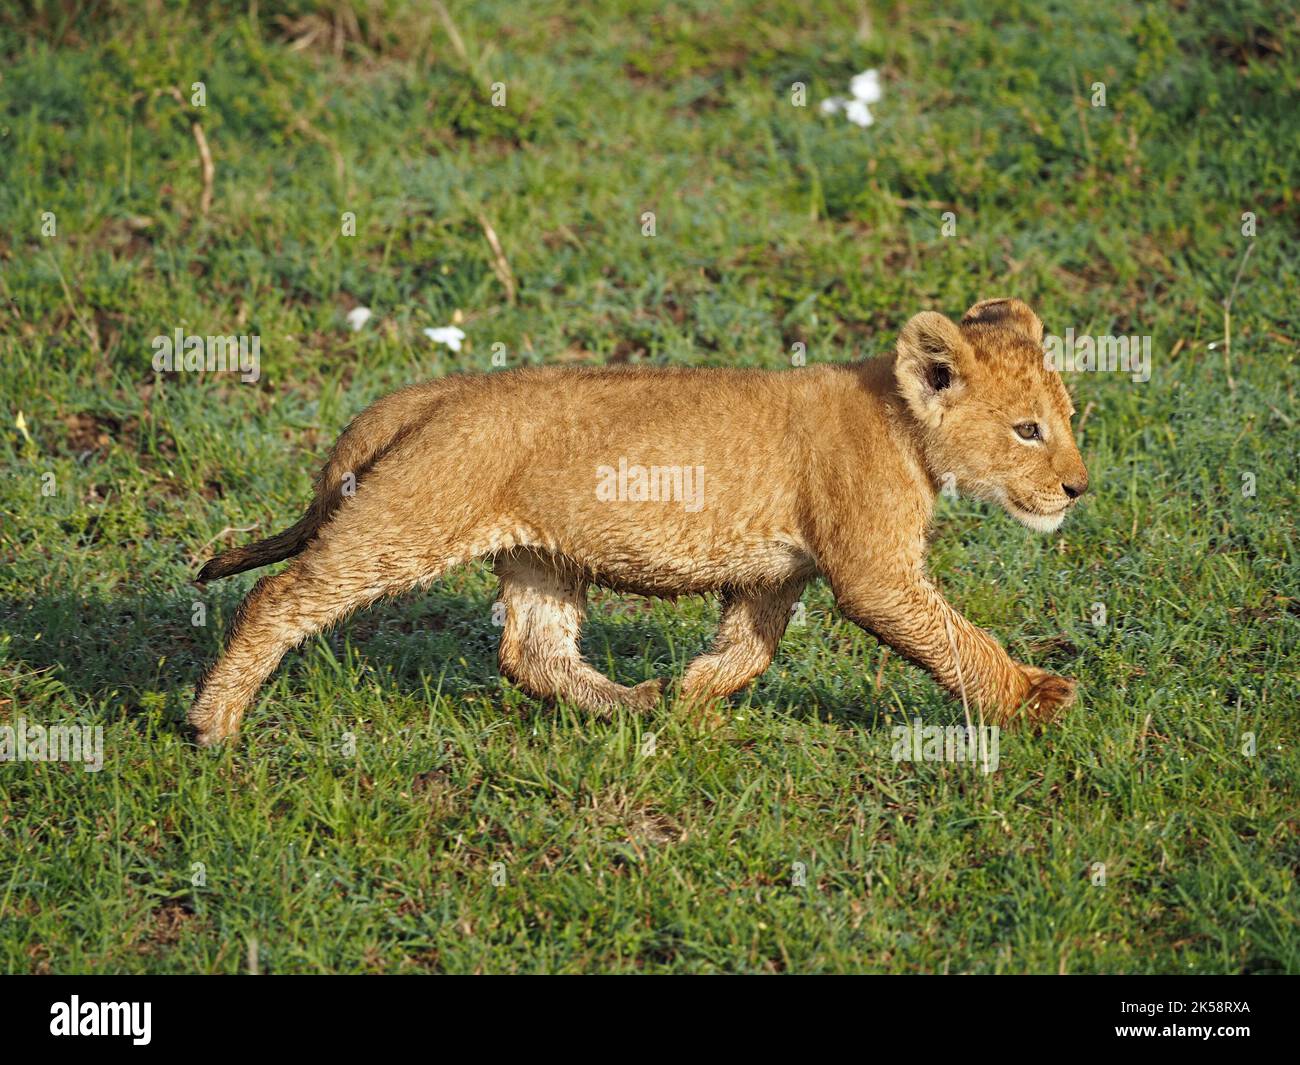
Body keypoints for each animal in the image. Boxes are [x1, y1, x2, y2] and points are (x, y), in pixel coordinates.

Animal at [189, 297, 1088, 746]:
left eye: (1066, 418)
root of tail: (437, 393)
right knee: (278, 598)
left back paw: (635, 702)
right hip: (409, 520)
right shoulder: (874, 572)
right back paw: (212, 725)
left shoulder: (775, 573)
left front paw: (694, 699)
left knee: (531, 652)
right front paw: (1031, 697)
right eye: (1027, 430)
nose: (1078, 488)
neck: (905, 425)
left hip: (539, 555)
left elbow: (749, 650)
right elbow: (954, 638)